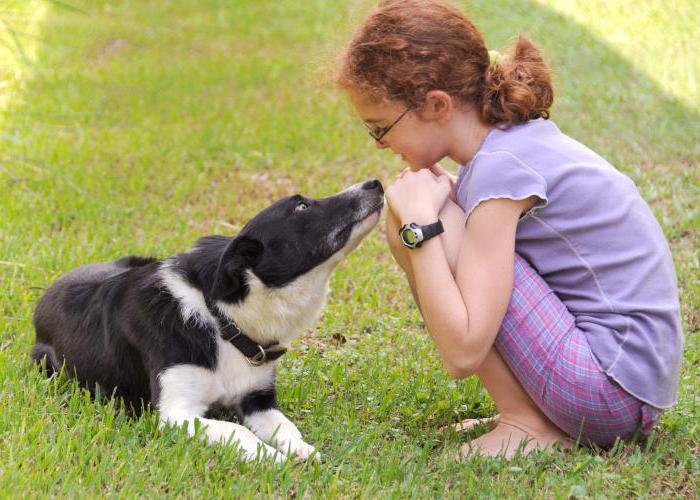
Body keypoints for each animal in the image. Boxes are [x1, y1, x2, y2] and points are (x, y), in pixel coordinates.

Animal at [31, 179, 382, 460]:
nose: (375, 183)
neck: (222, 321)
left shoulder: (258, 399)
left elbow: (285, 426)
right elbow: (237, 431)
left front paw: (301, 450)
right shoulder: (176, 412)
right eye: (302, 206)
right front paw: (273, 459)